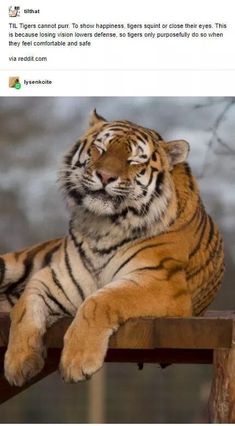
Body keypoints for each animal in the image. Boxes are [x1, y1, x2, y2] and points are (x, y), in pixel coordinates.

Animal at [0, 109, 224, 386]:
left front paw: (77, 362)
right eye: (100, 149)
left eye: (134, 161)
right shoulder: (55, 277)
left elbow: (100, 300)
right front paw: (19, 362)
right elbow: (25, 307)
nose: (105, 177)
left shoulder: (161, 283)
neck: (103, 226)